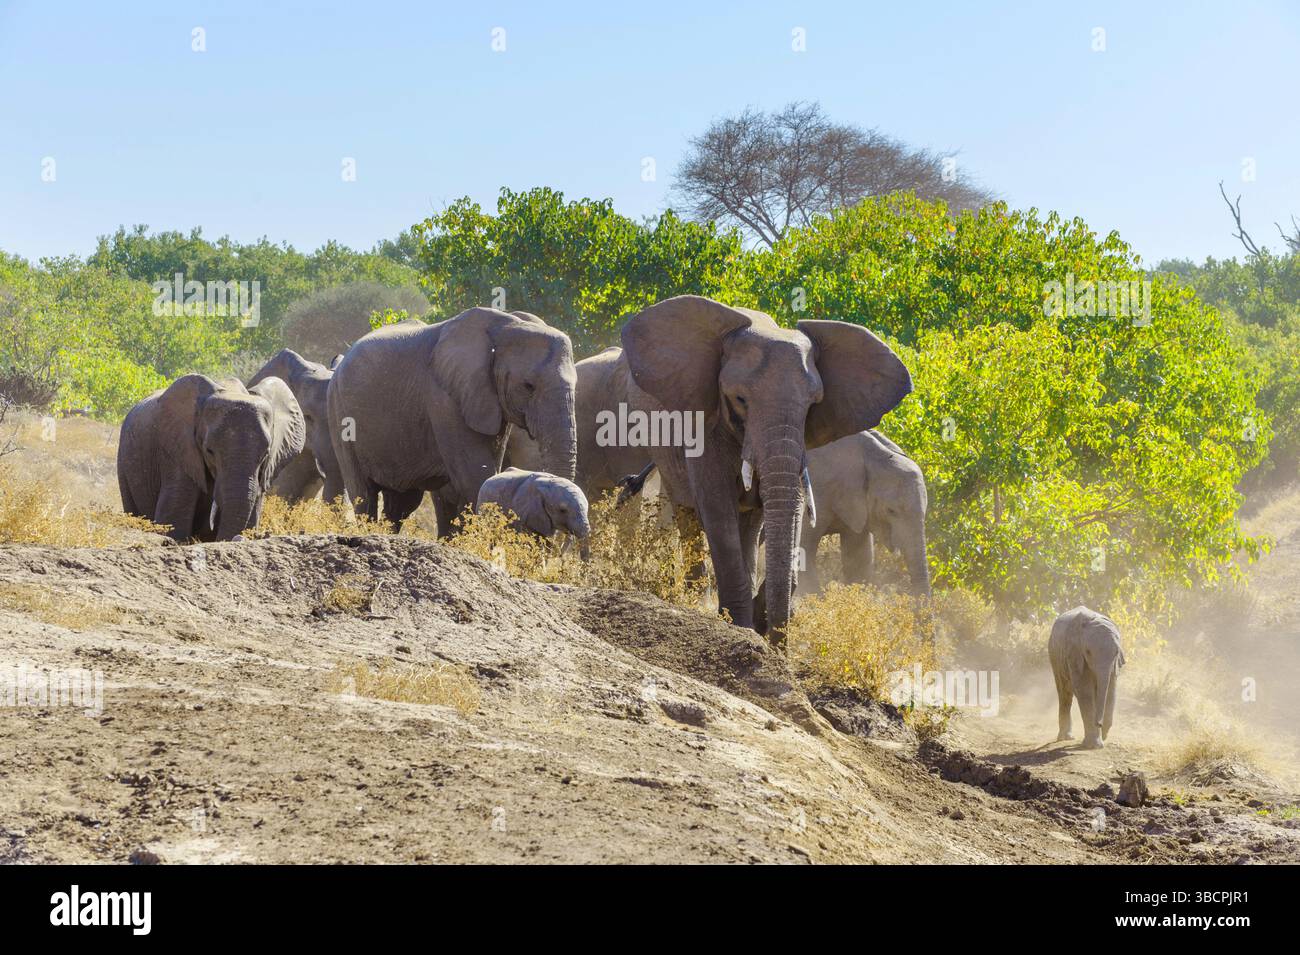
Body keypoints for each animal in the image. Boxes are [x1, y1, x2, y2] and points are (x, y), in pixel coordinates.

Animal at [327, 307, 578, 529]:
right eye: (528, 386)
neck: (506, 325)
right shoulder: (444, 399)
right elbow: (474, 476)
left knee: (402, 502)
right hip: (339, 414)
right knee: (364, 494)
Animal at [618, 295, 912, 641]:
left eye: (812, 405)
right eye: (740, 399)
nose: (777, 644)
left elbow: (790, 507)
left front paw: (757, 616)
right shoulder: (705, 425)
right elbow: (718, 509)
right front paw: (742, 626)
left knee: (750, 524)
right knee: (688, 513)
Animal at [1048, 606, 1126, 749]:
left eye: (1116, 652)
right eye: (1088, 652)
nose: (1099, 723)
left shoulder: (1114, 664)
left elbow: (1111, 690)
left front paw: (1102, 737)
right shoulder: (1075, 654)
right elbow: (1085, 691)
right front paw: (1093, 745)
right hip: (1054, 656)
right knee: (1064, 693)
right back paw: (1066, 738)